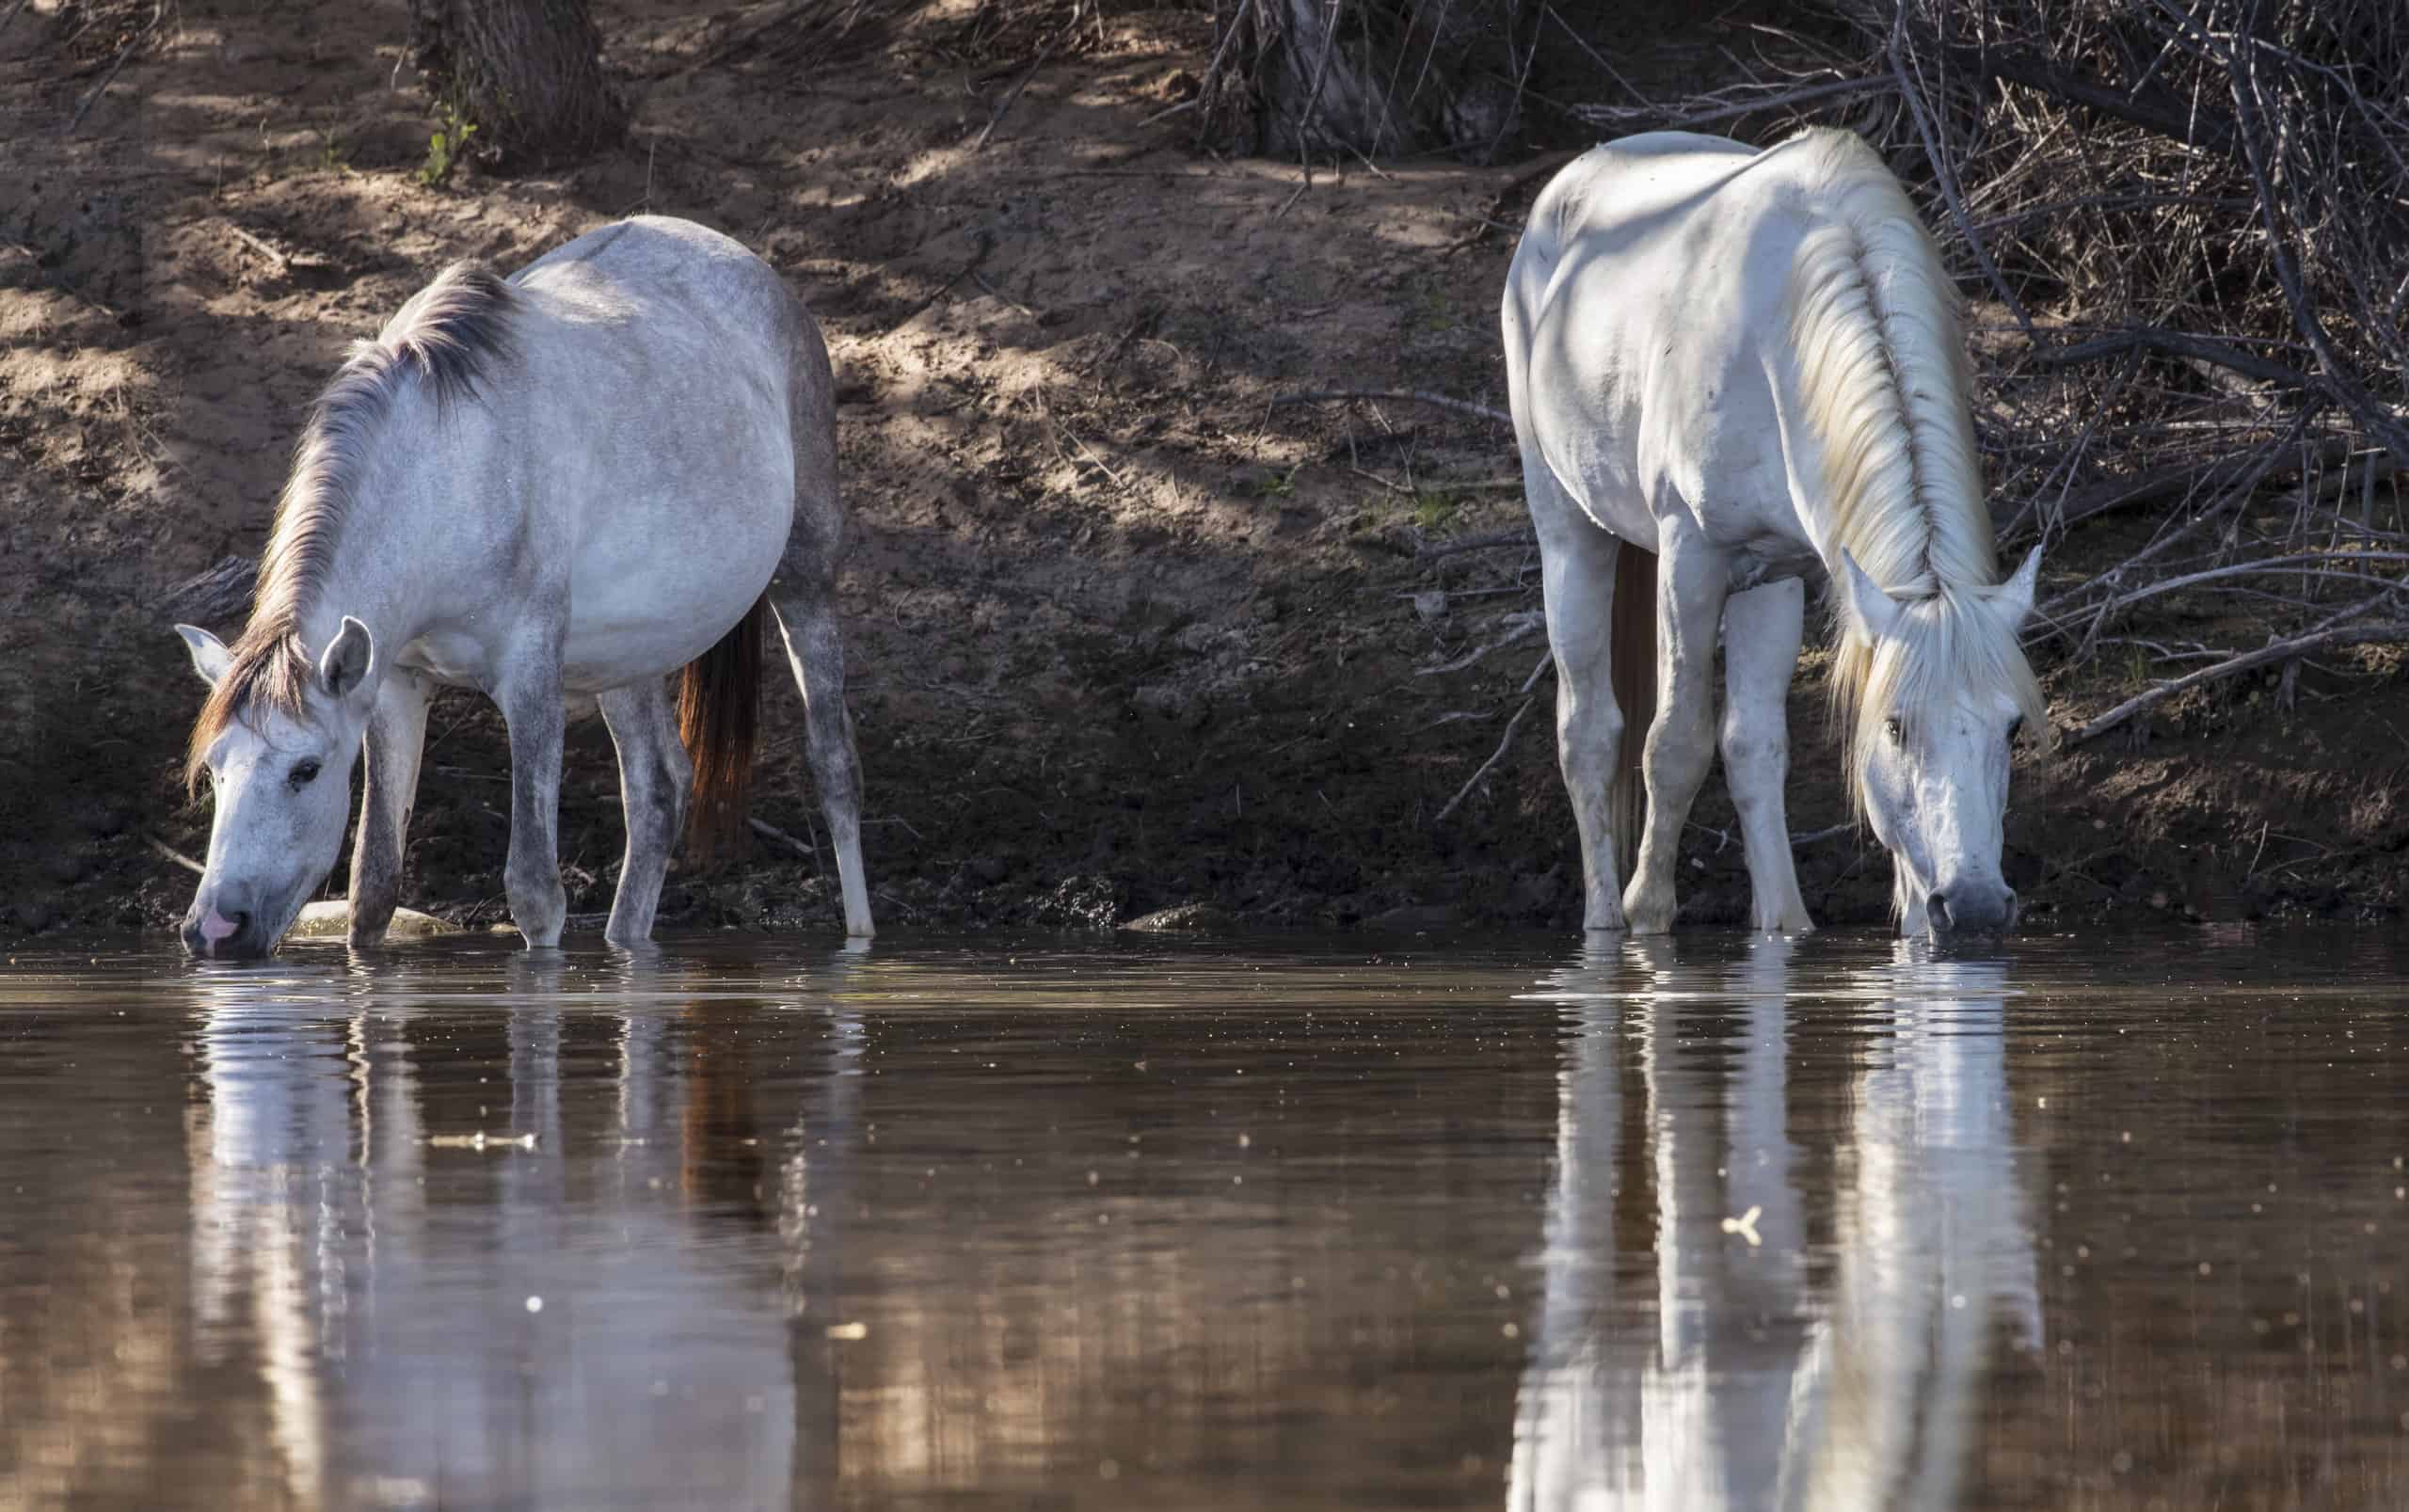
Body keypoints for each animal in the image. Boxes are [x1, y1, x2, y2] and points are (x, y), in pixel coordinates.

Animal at [173, 216, 874, 958]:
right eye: (215, 768)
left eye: (305, 770)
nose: (215, 928)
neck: (447, 474)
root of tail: (758, 273)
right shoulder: (394, 684)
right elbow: (373, 886)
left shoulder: (531, 679)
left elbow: (535, 892)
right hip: (627, 658)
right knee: (658, 790)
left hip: (805, 579)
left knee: (834, 766)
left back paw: (859, 940)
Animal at [1502, 128, 2045, 939]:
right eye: (1894, 727)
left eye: (2011, 728)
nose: (1975, 906)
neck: (1783, 331)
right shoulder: (1693, 558)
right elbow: (1675, 745)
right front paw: (1648, 914)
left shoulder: (1782, 570)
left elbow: (1755, 747)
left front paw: (1791, 931)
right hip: (1569, 534)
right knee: (1590, 731)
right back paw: (1603, 920)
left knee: (1741, 746)